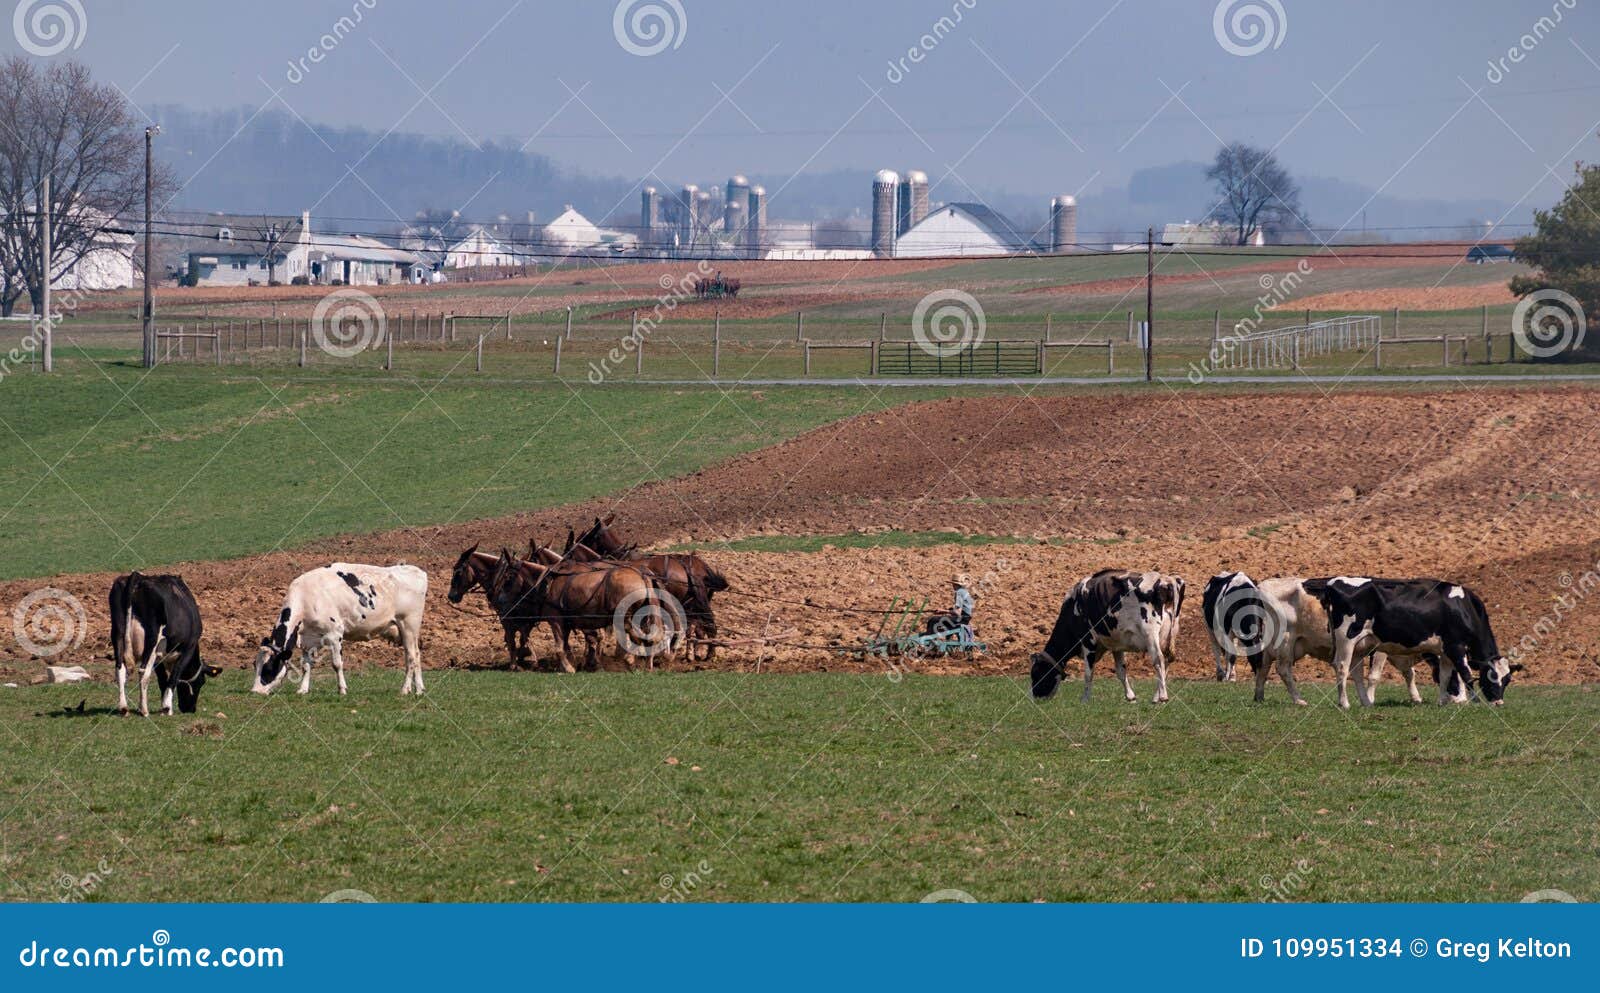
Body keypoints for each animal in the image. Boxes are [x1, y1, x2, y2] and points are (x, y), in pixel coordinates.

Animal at [109, 572, 221, 716]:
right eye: (202, 682)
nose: (190, 709)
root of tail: (137, 576)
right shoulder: (187, 649)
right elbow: (173, 677)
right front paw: (167, 708)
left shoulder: (159, 656)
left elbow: (162, 680)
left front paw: (163, 707)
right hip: (151, 640)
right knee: (143, 672)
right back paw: (144, 710)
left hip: (117, 634)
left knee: (120, 668)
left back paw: (124, 708)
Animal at [251, 563, 428, 697]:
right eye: (255, 665)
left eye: (268, 667)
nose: (255, 691)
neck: (306, 598)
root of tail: (417, 570)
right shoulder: (308, 640)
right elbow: (306, 665)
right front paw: (302, 689)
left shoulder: (335, 634)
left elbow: (337, 664)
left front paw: (342, 689)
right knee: (417, 654)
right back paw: (419, 689)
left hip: (409, 624)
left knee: (411, 657)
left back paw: (405, 689)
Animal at [1030, 569, 1185, 704]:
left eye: (1035, 674)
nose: (1034, 698)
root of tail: (1165, 579)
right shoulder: (1116, 645)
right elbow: (1121, 670)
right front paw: (1130, 697)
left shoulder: (1088, 641)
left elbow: (1088, 673)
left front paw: (1084, 700)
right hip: (1169, 634)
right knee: (1167, 661)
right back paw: (1156, 697)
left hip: (1150, 633)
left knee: (1159, 660)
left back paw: (1163, 696)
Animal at [1307, 576, 1519, 708]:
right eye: (1491, 677)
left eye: (1507, 680)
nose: (1499, 703)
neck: (1463, 607)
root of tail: (1333, 583)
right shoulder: (1456, 647)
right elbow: (1466, 674)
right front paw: (1474, 701)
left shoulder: (1445, 650)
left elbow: (1445, 675)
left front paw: (1442, 701)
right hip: (1346, 639)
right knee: (1342, 668)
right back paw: (1344, 703)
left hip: (1361, 644)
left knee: (1356, 671)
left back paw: (1366, 703)